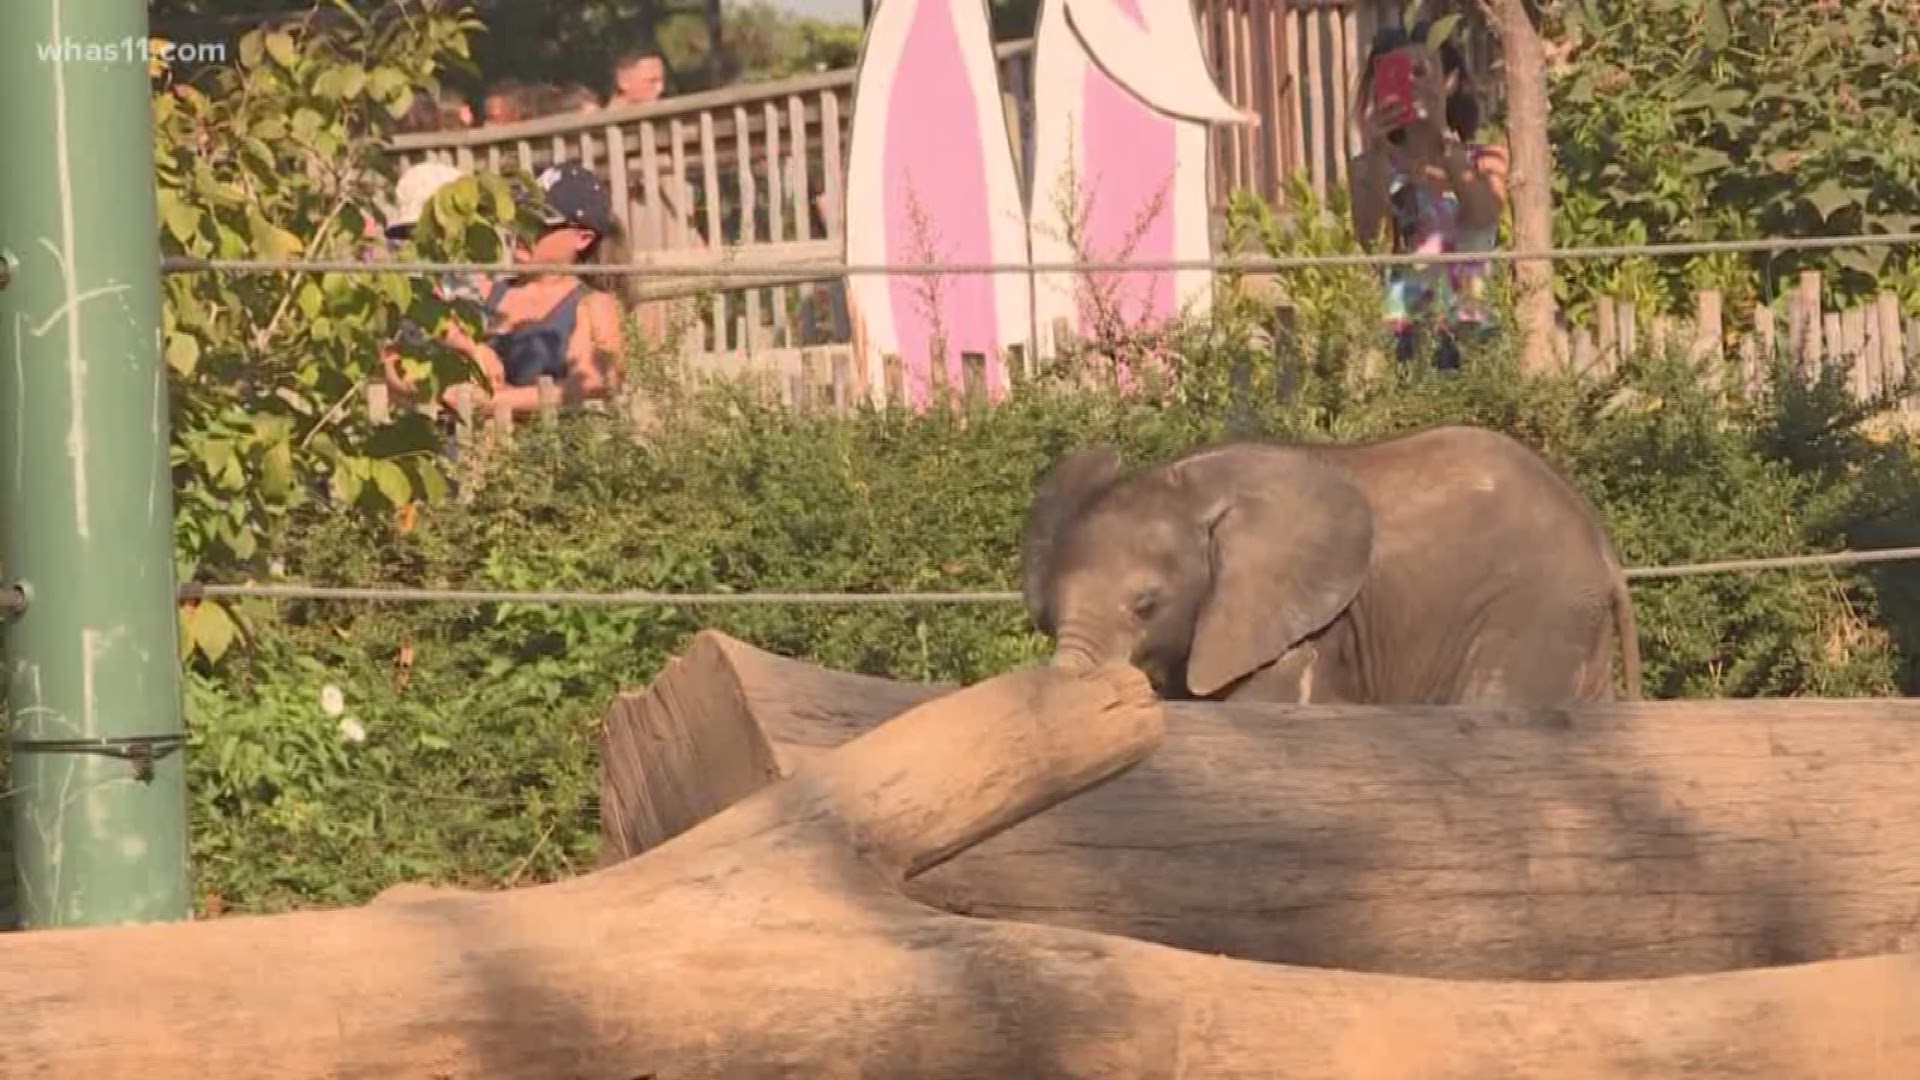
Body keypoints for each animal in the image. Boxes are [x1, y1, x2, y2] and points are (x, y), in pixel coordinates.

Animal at [1020, 425, 1641, 704]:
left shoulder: (1289, 636)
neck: (1194, 486)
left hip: (1534, 611)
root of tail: (1604, 547)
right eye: (1045, 617)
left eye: (1145, 605)